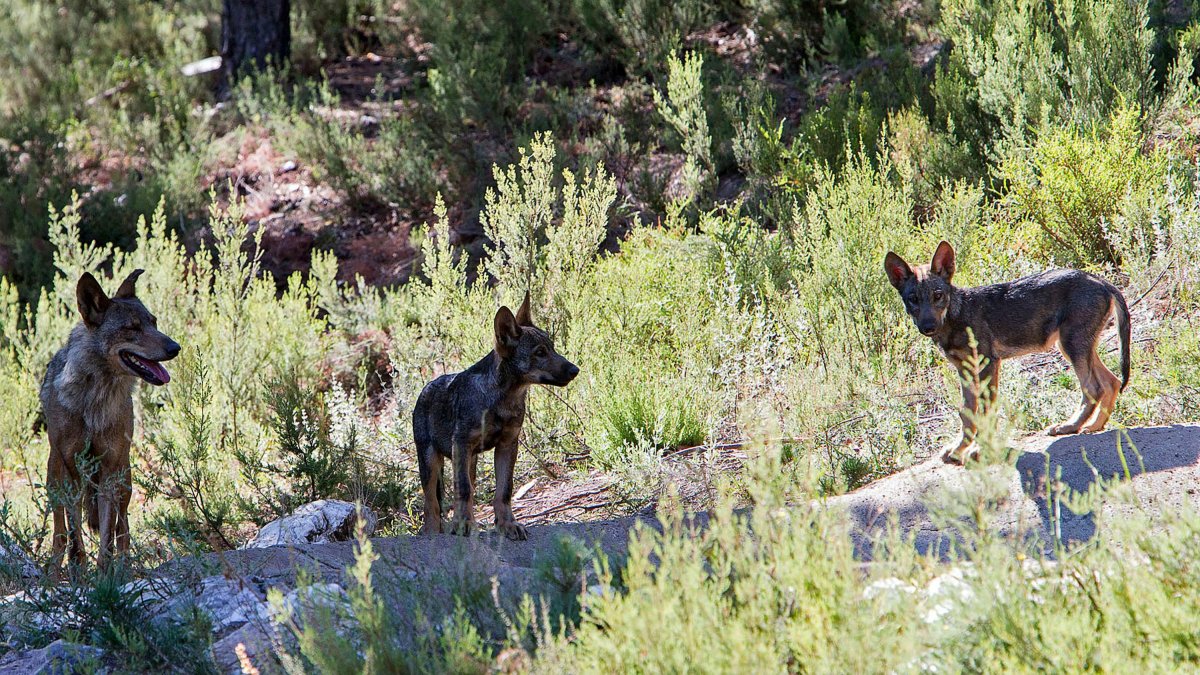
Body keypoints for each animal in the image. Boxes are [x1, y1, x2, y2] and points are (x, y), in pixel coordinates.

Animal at [41, 270, 180, 570]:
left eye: (153, 322)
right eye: (132, 328)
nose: (176, 347)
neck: (95, 401)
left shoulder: (108, 475)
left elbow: (107, 538)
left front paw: (106, 575)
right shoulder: (73, 474)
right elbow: (74, 539)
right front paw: (79, 572)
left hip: (124, 478)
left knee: (123, 529)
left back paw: (124, 567)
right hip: (55, 478)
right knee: (59, 533)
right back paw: (55, 571)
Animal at [412, 294, 579, 540]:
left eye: (553, 348)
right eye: (540, 353)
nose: (575, 370)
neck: (502, 399)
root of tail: (425, 389)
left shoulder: (507, 445)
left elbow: (504, 491)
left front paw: (507, 525)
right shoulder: (461, 444)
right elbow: (462, 490)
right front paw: (463, 525)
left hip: (469, 461)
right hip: (431, 462)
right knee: (431, 504)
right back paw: (433, 533)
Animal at [884, 241, 1130, 464]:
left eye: (937, 295)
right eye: (913, 299)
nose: (928, 327)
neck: (956, 317)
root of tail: (1100, 280)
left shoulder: (988, 364)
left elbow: (986, 413)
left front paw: (980, 450)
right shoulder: (965, 370)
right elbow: (967, 413)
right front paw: (959, 449)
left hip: (1072, 346)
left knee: (1093, 387)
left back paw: (1070, 426)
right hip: (1075, 347)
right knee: (1112, 381)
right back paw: (1095, 426)